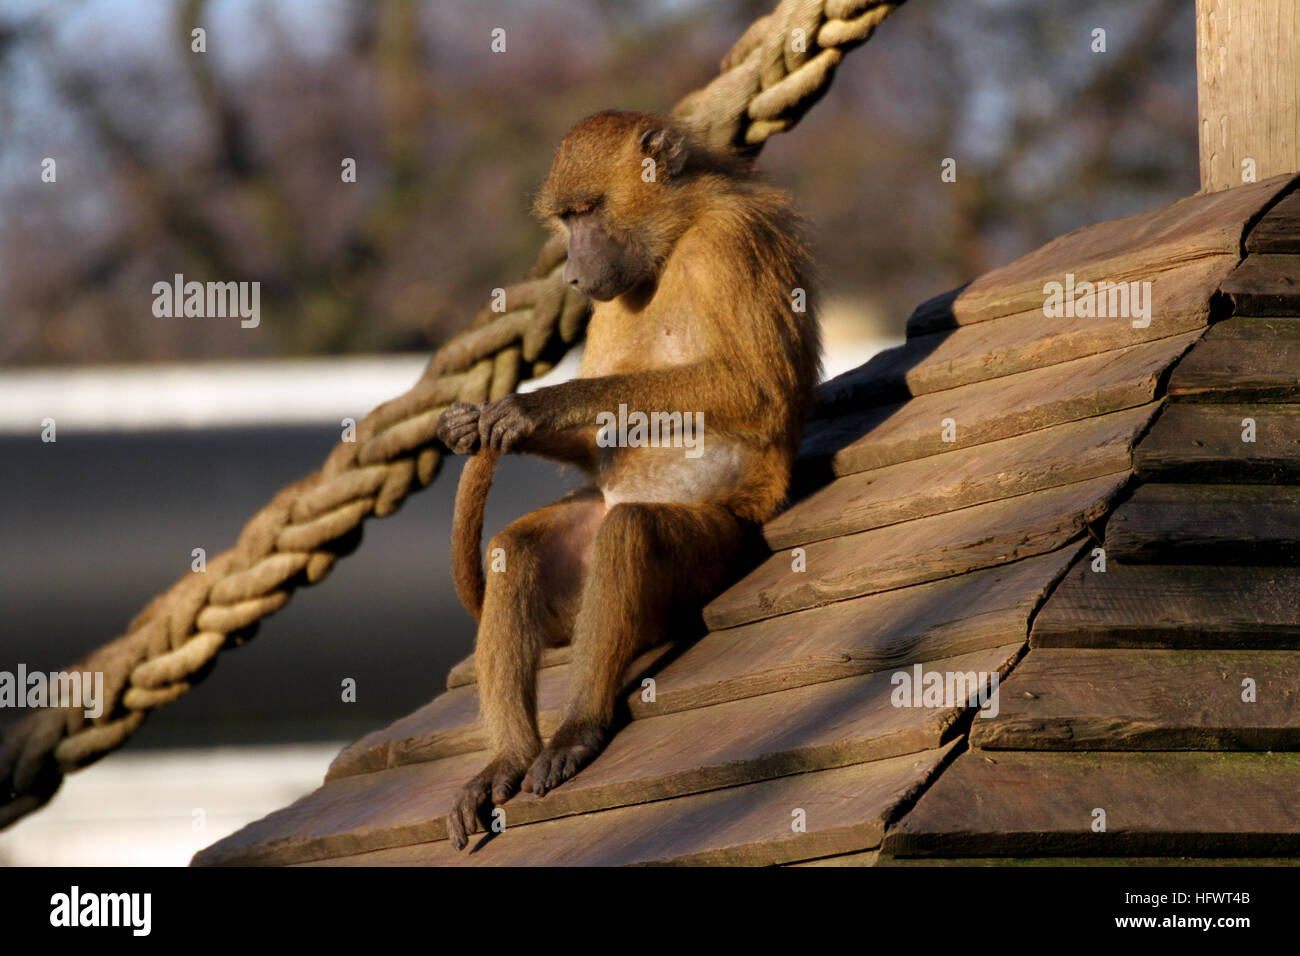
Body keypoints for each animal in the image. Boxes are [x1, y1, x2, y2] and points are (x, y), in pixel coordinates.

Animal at [434, 109, 821, 850]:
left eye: (588, 211)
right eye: (567, 218)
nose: (574, 274)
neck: (677, 236)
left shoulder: (737, 242)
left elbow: (758, 389)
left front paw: (536, 405)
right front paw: (475, 424)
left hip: (717, 545)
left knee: (630, 533)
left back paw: (577, 730)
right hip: (580, 556)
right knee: (514, 552)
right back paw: (511, 758)